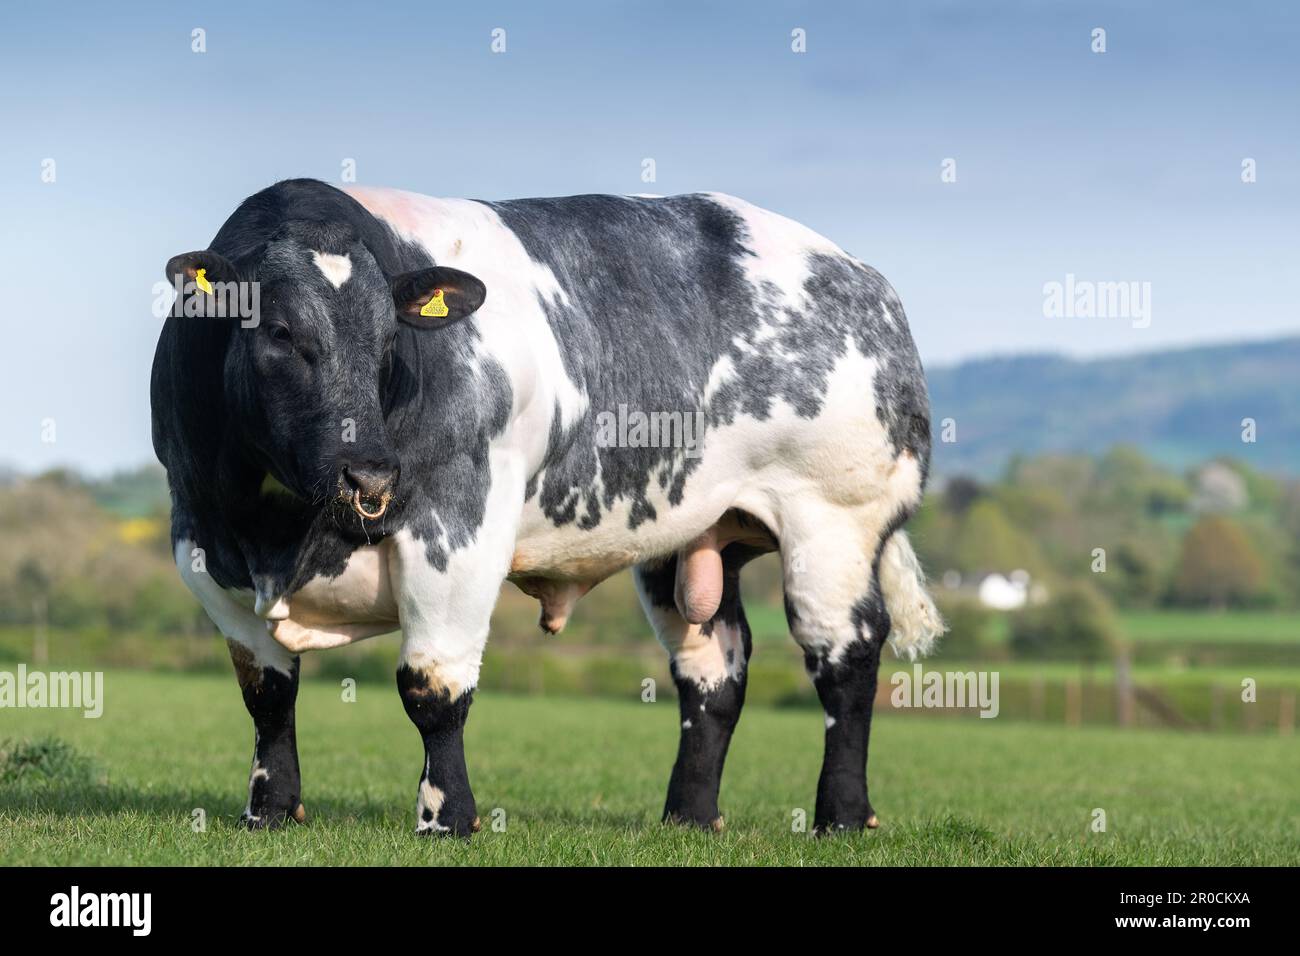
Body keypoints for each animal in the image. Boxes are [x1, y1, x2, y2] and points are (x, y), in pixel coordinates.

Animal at [151, 178, 943, 837]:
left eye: (388, 338)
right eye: (279, 332)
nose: (368, 472)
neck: (278, 534)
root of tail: (859, 276)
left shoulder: (459, 528)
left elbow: (432, 688)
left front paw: (447, 818)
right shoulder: (202, 546)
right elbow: (267, 694)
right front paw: (270, 811)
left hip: (832, 518)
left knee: (843, 654)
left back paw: (842, 817)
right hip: (683, 538)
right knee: (713, 667)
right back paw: (688, 818)